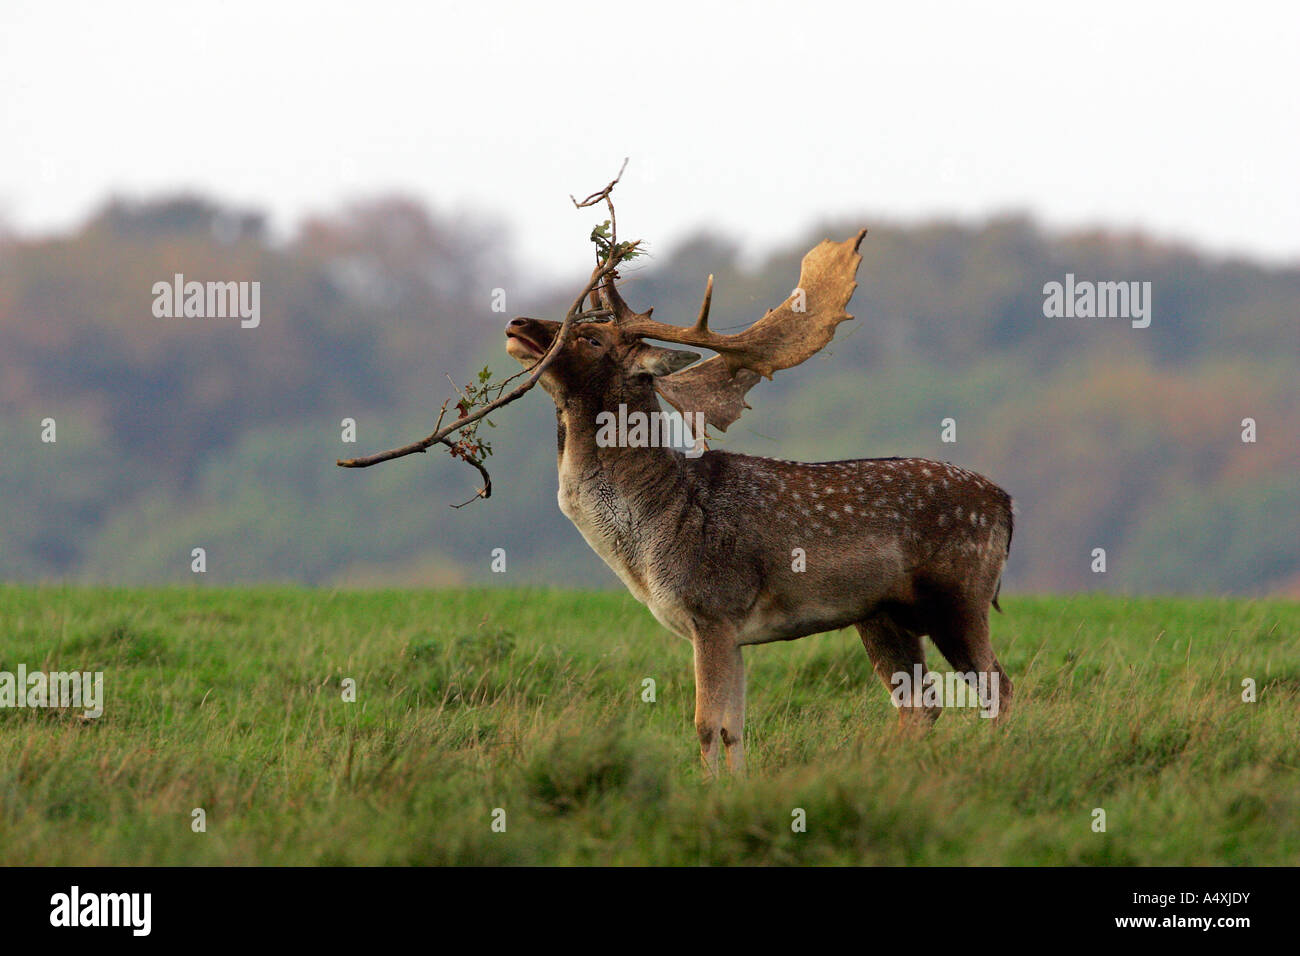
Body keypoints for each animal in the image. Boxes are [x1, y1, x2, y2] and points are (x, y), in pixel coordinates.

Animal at [504, 227, 1015, 775]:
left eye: (592, 339)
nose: (518, 323)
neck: (653, 531)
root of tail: (1006, 505)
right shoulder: (728, 630)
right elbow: (734, 727)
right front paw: (739, 785)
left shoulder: (713, 608)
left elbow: (706, 725)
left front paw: (711, 790)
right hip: (883, 615)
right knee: (920, 705)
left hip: (960, 595)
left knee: (998, 688)